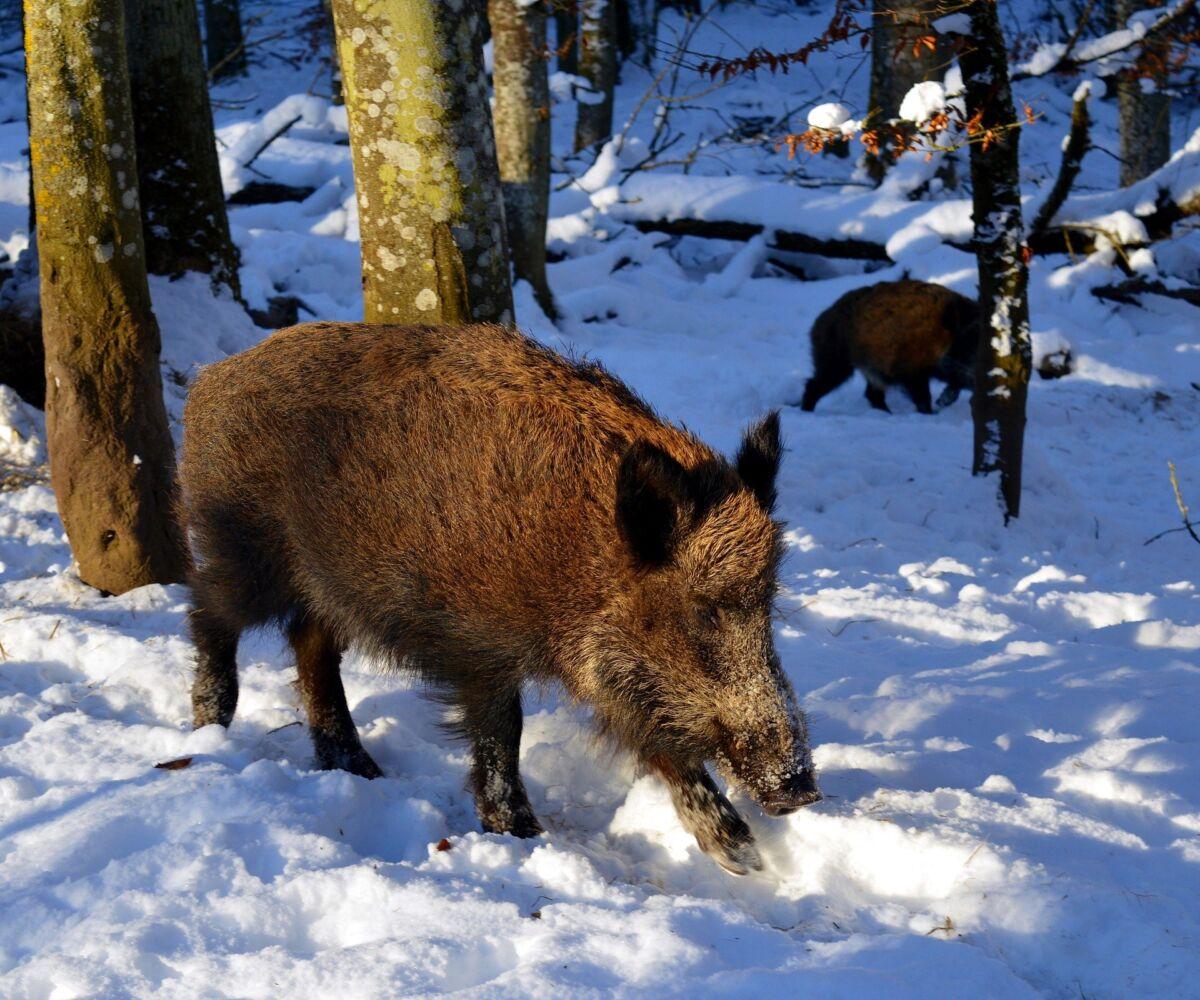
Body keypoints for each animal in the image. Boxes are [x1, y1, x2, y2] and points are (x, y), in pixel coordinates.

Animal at [179, 321, 820, 875]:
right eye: (704, 609)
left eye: (767, 602)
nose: (802, 790)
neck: (579, 557)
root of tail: (210, 379)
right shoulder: (478, 643)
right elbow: (504, 732)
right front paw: (521, 835)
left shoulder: (622, 677)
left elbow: (658, 739)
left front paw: (742, 857)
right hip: (247, 549)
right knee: (209, 606)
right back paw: (211, 725)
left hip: (323, 582)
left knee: (309, 641)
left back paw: (359, 769)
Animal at [798, 279, 979, 414]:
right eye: (971, 338)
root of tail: (818, 323)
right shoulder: (912, 371)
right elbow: (923, 396)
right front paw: (931, 412)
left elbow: (953, 387)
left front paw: (942, 402)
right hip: (835, 362)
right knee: (814, 384)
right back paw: (807, 410)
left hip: (869, 370)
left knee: (872, 394)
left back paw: (886, 413)